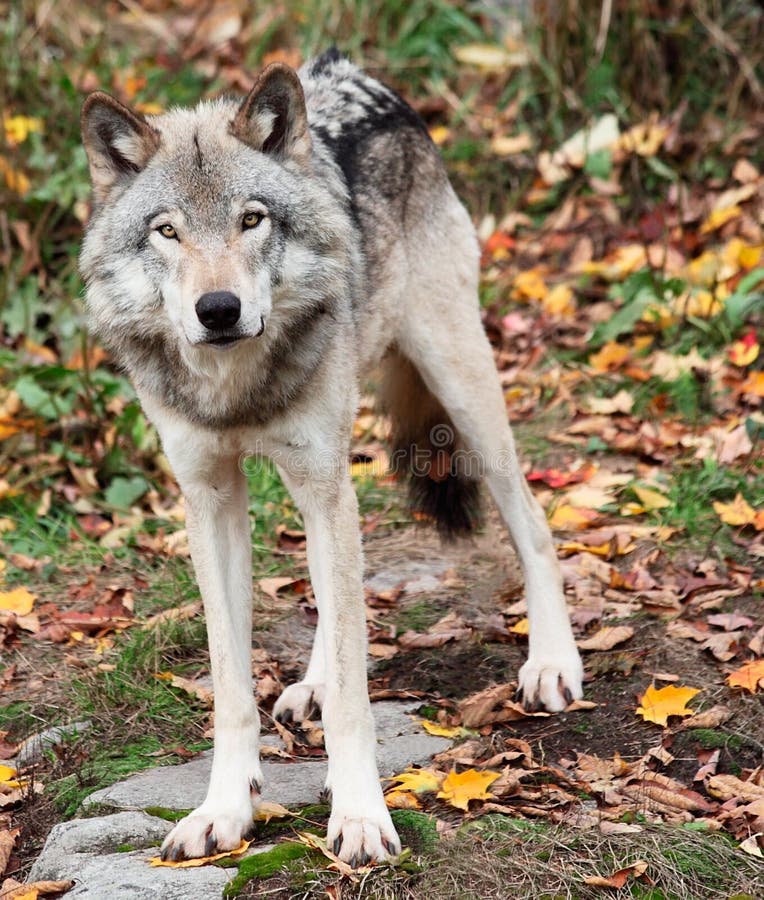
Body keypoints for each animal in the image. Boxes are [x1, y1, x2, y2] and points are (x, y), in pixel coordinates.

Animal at [79, 48, 583, 866]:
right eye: (167, 232)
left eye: (252, 219)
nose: (218, 310)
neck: (235, 390)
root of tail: (352, 74)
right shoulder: (210, 498)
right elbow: (232, 683)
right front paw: (224, 810)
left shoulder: (317, 476)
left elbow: (355, 692)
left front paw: (359, 817)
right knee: (338, 581)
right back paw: (310, 683)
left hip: (459, 388)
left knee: (532, 523)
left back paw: (552, 664)